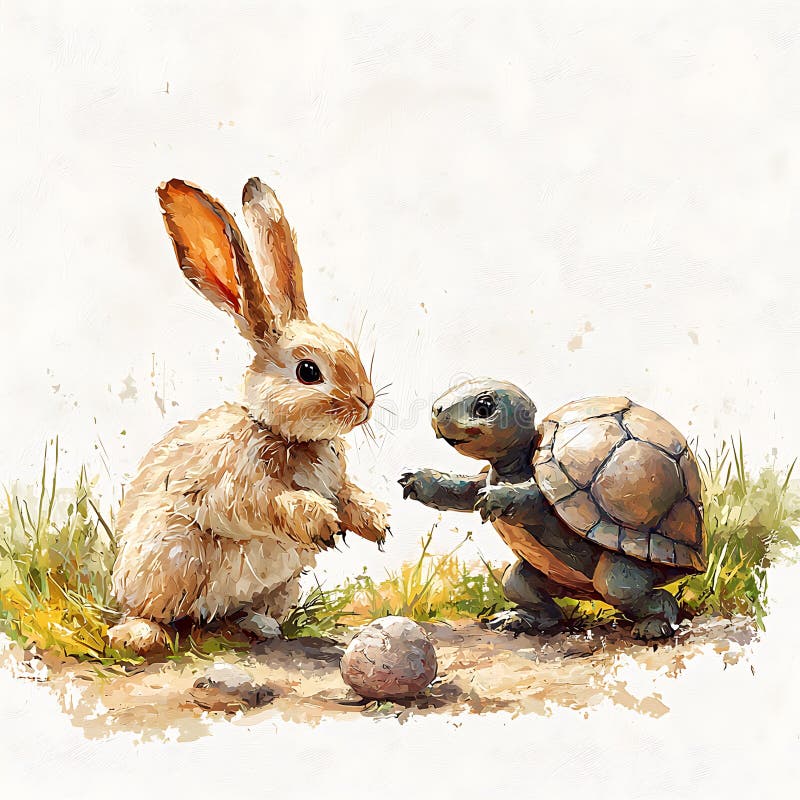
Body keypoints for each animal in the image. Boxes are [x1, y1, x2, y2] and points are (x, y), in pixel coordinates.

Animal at [107, 177, 389, 655]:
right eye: (308, 371)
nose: (366, 402)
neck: (284, 435)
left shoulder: (336, 483)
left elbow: (348, 495)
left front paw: (375, 522)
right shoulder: (234, 484)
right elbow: (264, 503)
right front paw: (320, 520)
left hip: (284, 586)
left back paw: (256, 627)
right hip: (170, 558)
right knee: (151, 611)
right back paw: (141, 636)